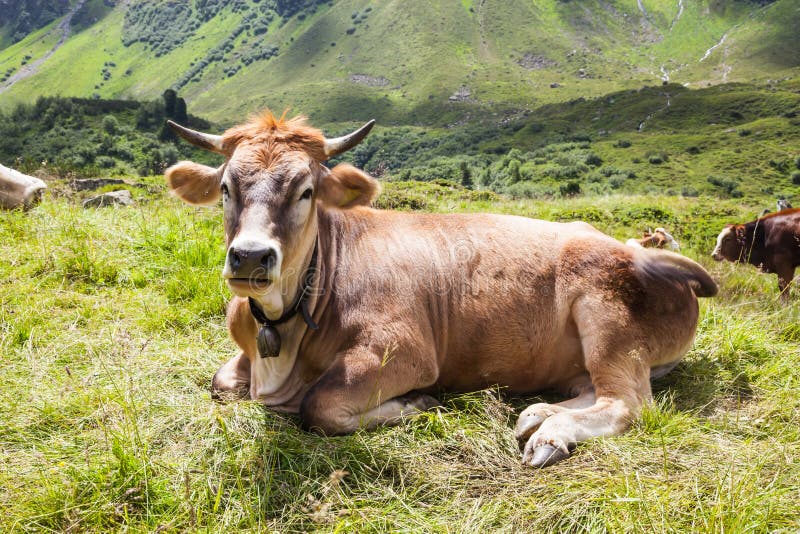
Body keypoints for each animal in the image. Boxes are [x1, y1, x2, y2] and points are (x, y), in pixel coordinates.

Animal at [164, 111, 717, 468]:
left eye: (305, 191)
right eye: (227, 188)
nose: (250, 256)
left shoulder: (404, 349)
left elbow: (317, 406)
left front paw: (414, 404)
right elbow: (221, 382)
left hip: (608, 318)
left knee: (626, 403)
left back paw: (552, 434)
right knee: (592, 391)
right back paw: (538, 414)